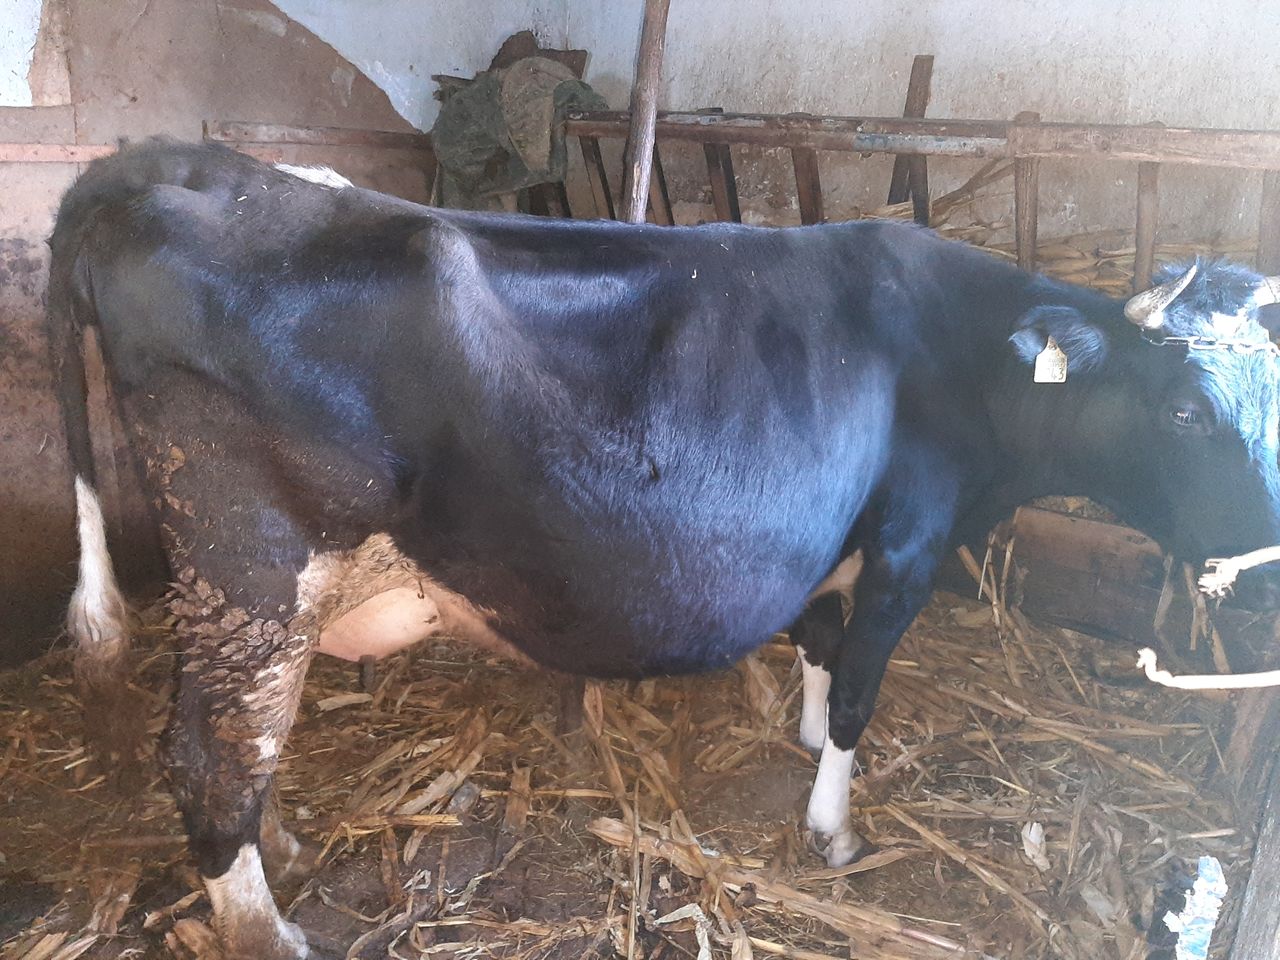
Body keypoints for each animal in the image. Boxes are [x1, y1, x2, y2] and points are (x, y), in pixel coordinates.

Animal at [47, 138, 1280, 959]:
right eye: (1183, 411)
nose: (1266, 564)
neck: (964, 354)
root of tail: (180, 165)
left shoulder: (825, 542)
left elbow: (821, 645)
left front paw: (798, 736)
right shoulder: (908, 545)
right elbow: (860, 688)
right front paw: (832, 829)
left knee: (234, 738)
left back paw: (289, 851)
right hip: (253, 562)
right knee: (214, 752)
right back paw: (267, 927)